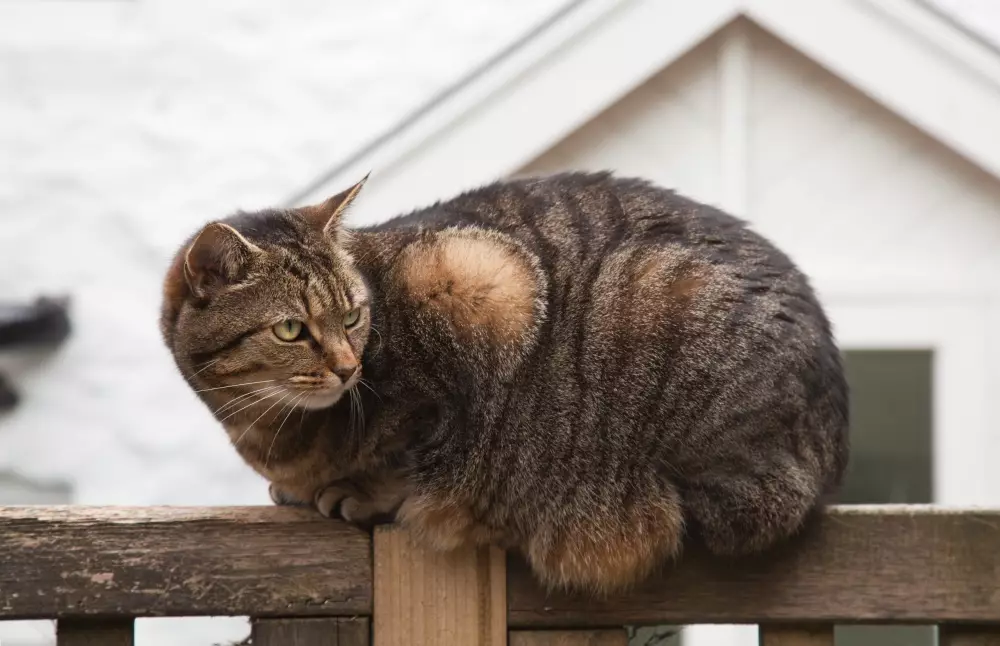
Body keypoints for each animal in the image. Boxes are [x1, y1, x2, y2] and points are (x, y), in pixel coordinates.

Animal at [160, 172, 848, 596]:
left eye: (353, 316)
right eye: (291, 329)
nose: (350, 367)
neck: (265, 428)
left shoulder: (483, 283)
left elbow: (413, 443)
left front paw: (363, 491)